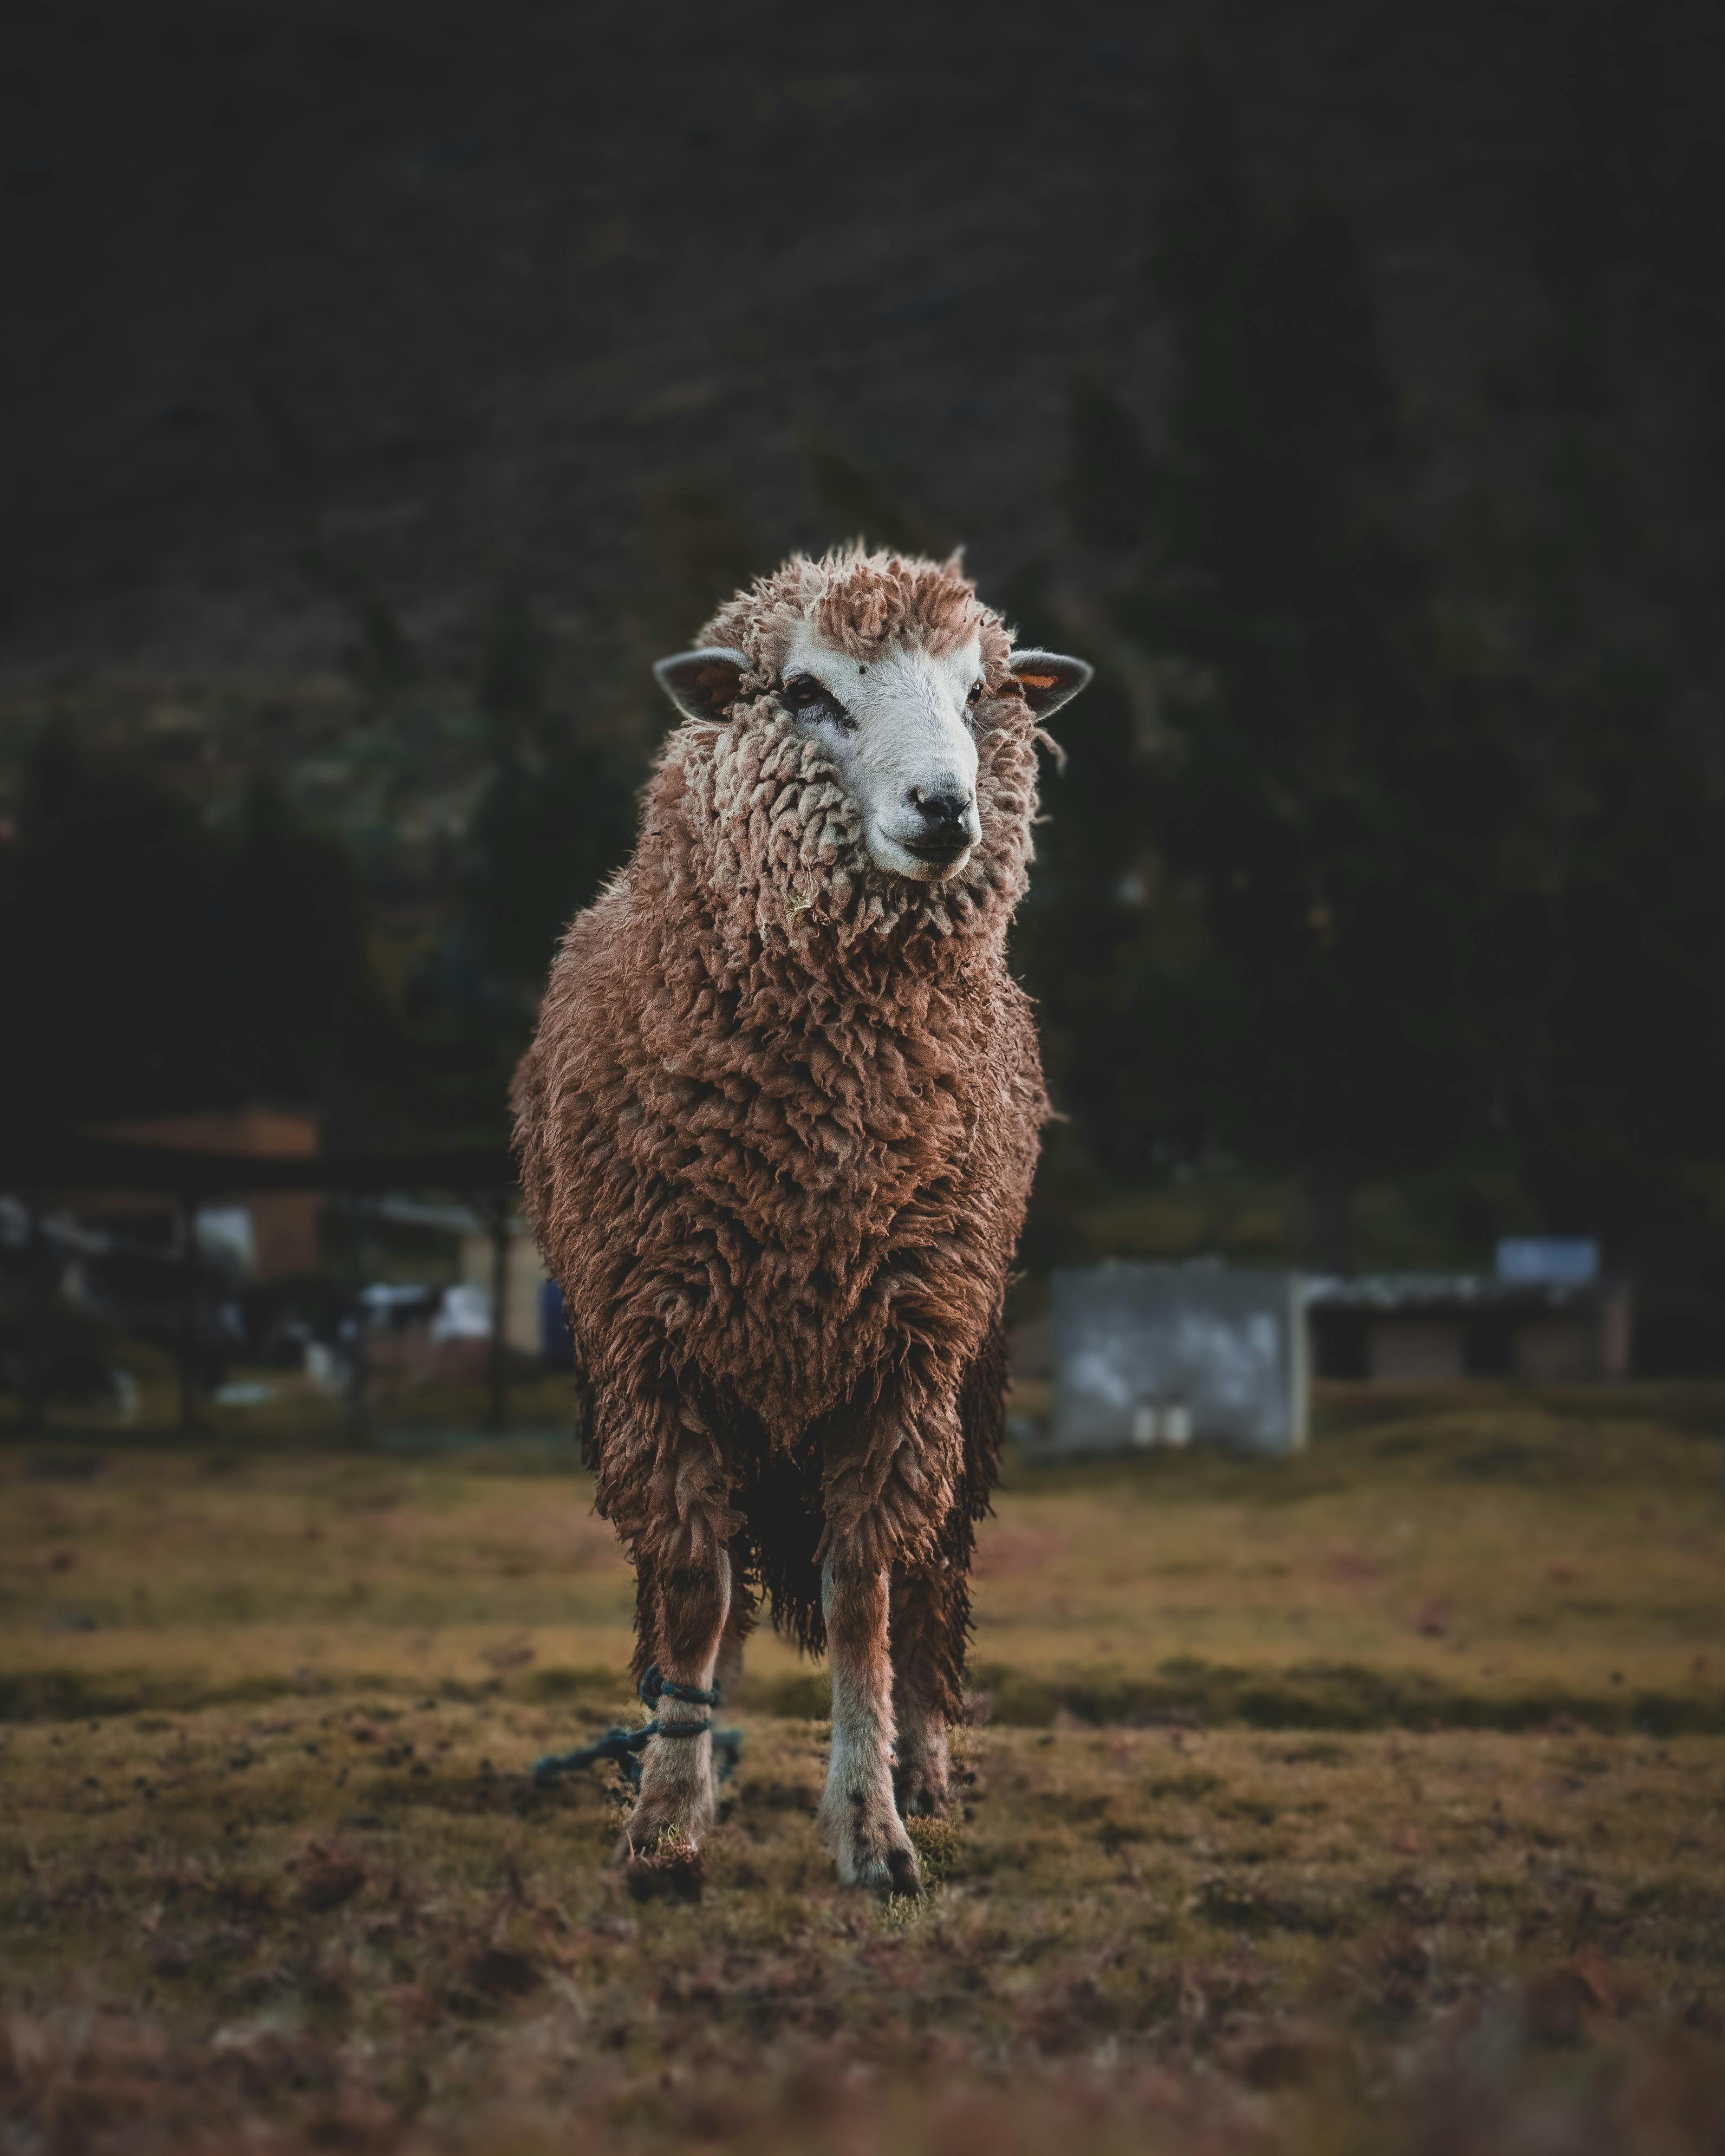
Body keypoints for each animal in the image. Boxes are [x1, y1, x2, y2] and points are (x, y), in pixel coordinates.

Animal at [512, 547, 1090, 1893]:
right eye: (807, 692)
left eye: (980, 690)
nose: (945, 810)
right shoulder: (655, 1352)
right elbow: (691, 1590)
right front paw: (665, 1817)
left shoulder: (899, 1360)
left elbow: (861, 1595)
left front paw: (871, 1826)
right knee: (706, 1583)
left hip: (969, 1376)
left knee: (932, 1581)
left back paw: (924, 1765)